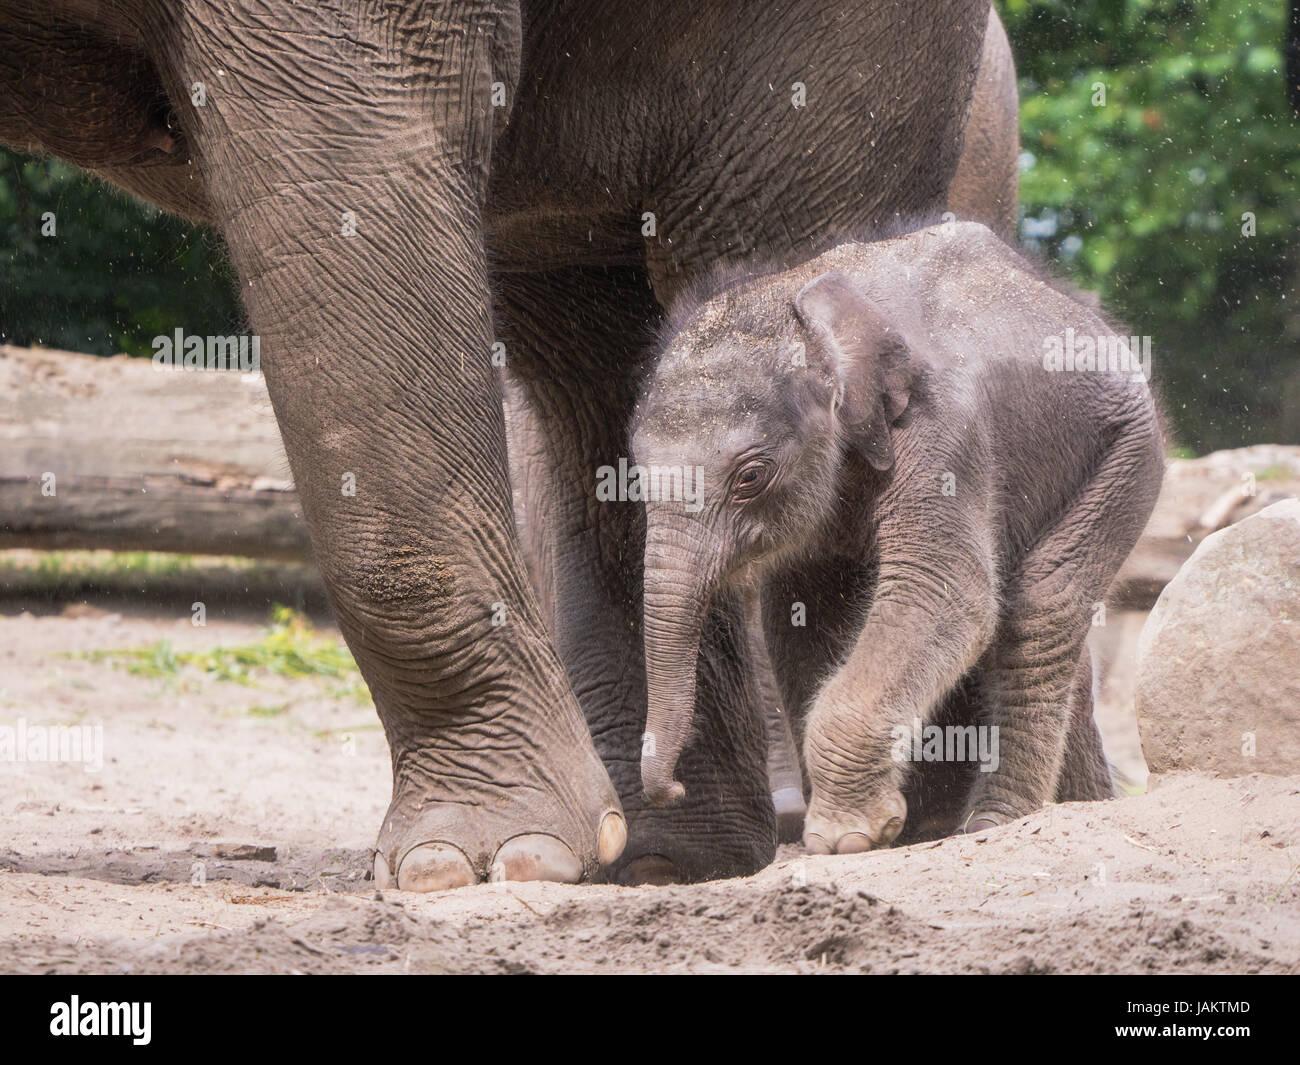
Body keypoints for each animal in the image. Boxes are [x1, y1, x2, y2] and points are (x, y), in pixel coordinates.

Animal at [631, 221, 1165, 854]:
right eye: (632, 473)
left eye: (751, 477)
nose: (671, 791)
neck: (799, 302)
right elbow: (804, 619)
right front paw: (887, 829)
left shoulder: (942, 428)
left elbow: (942, 592)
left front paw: (847, 838)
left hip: (1128, 452)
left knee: (1040, 604)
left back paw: (995, 821)